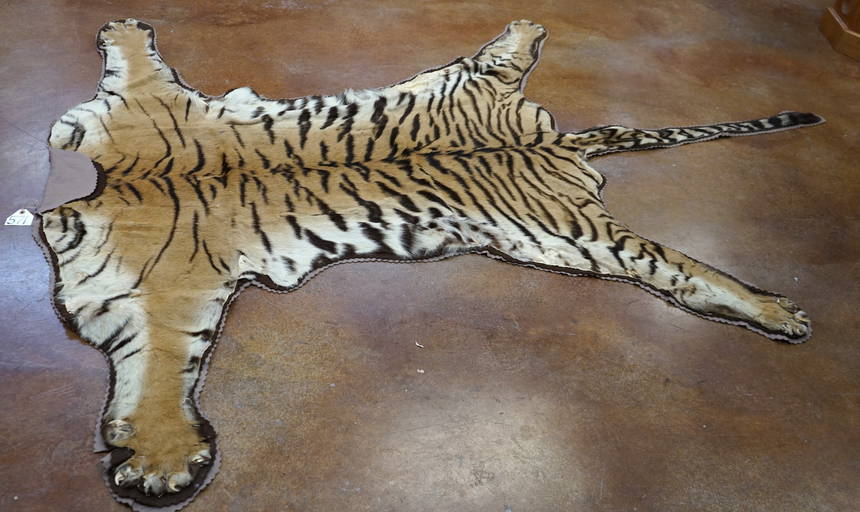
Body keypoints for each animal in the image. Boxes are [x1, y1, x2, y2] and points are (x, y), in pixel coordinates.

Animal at [39, 18, 821, 508]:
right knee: (501, 64)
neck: (101, 179)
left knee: (678, 267)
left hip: (575, 230)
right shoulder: (142, 140)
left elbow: (161, 370)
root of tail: (561, 141)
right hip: (503, 139)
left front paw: (161, 462)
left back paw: (774, 311)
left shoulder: (166, 284)